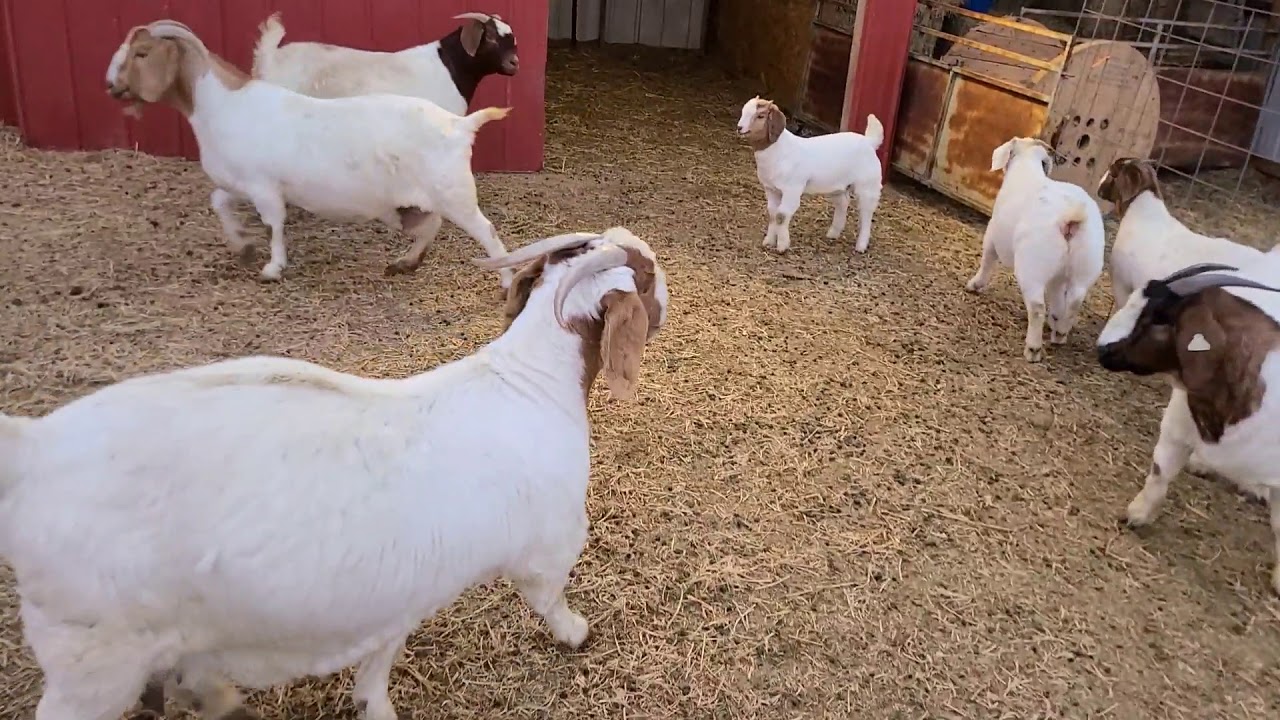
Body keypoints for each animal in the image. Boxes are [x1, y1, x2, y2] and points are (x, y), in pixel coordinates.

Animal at [0, 227, 669, 720]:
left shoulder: (403, 589)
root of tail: (35, 449)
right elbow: (549, 596)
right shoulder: (547, 543)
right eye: (645, 271)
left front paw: (372, 703)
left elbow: (379, 657)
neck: (530, 381)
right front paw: (576, 633)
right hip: (92, 658)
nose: (667, 292)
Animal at [735, 96, 883, 255]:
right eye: (743, 111)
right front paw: (769, 241)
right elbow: (773, 214)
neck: (779, 150)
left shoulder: (792, 189)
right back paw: (833, 233)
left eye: (760, 116)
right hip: (837, 185)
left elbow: (782, 215)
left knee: (866, 213)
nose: (739, 128)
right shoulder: (771, 189)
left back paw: (861, 245)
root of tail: (869, 141)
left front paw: (782, 246)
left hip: (868, 185)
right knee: (842, 203)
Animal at [964, 137, 1106, 362]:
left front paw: (974, 285)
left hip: (1033, 264)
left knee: (1038, 307)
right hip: (1083, 266)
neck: (1026, 166)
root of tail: (1071, 217)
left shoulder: (993, 233)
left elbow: (987, 259)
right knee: (1073, 301)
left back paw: (1033, 349)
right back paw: (1060, 333)